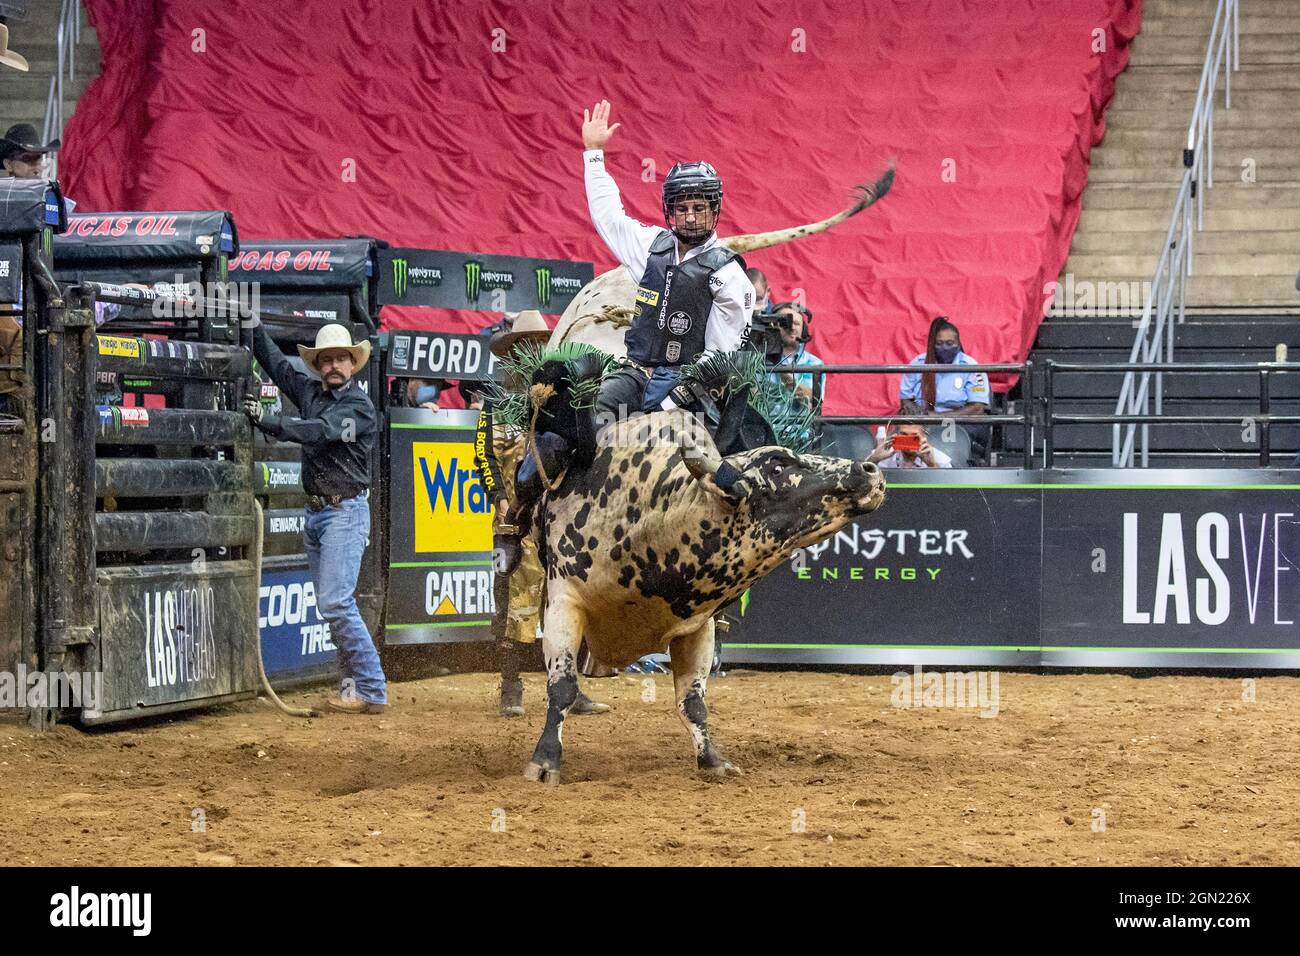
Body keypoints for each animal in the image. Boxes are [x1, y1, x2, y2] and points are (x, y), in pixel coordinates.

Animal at [523, 410, 886, 784]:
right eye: (776, 466)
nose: (868, 469)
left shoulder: (696, 626)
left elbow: (693, 701)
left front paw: (713, 761)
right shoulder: (564, 602)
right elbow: (561, 686)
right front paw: (545, 761)